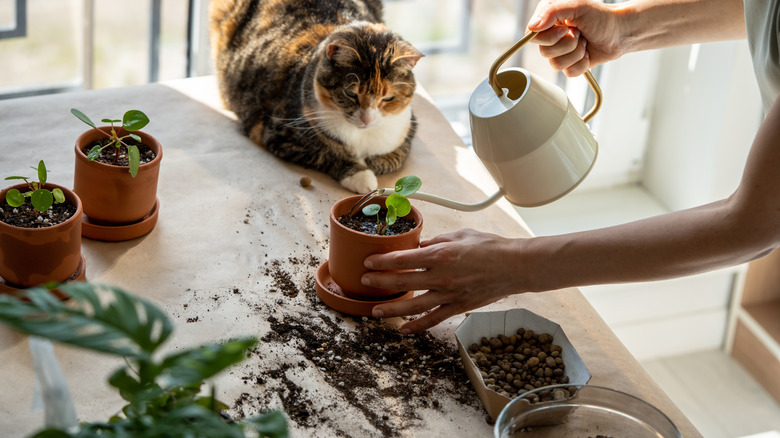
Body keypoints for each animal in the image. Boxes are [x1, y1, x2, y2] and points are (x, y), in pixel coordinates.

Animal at [210, 0, 424, 192]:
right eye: (350, 93)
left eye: (387, 99)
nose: (366, 119)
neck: (360, 137)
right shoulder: (281, 132)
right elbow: (326, 152)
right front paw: (360, 175)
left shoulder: (408, 126)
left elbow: (398, 156)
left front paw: (372, 162)